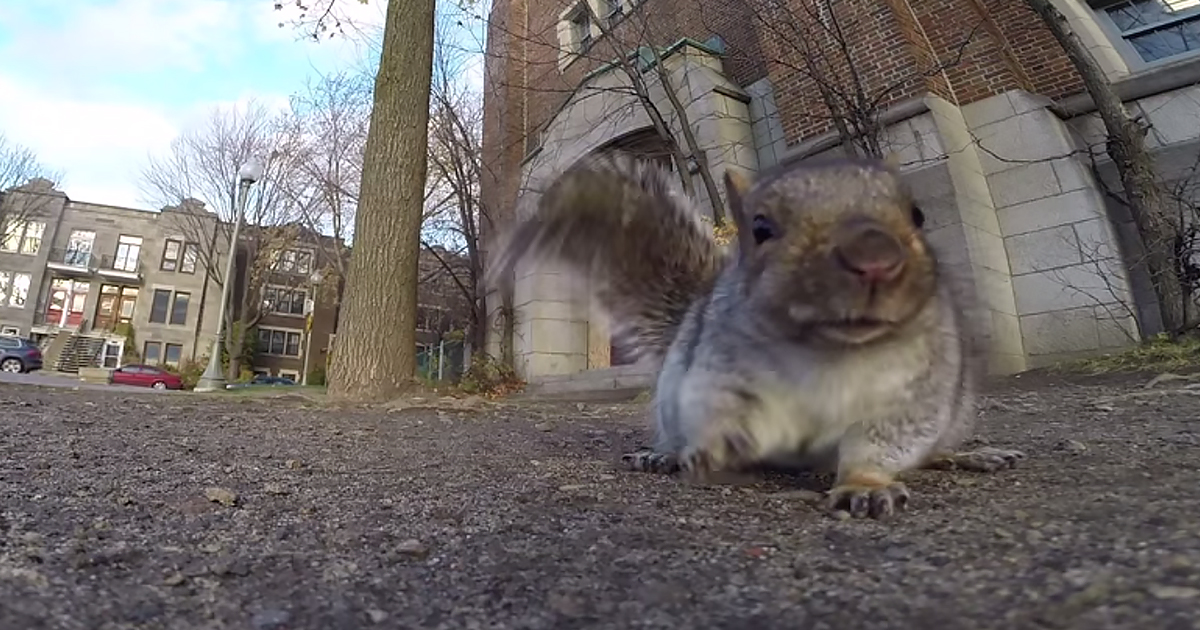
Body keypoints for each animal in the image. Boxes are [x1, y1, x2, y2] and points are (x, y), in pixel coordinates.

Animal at [487, 151, 1025, 520]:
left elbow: (884, 442)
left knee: (931, 450)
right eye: (761, 227)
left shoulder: (915, 391)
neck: (833, 352)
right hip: (670, 395)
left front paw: (866, 485)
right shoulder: (719, 375)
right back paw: (663, 454)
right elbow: (727, 413)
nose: (874, 258)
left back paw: (968, 456)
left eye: (917, 215)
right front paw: (715, 450)